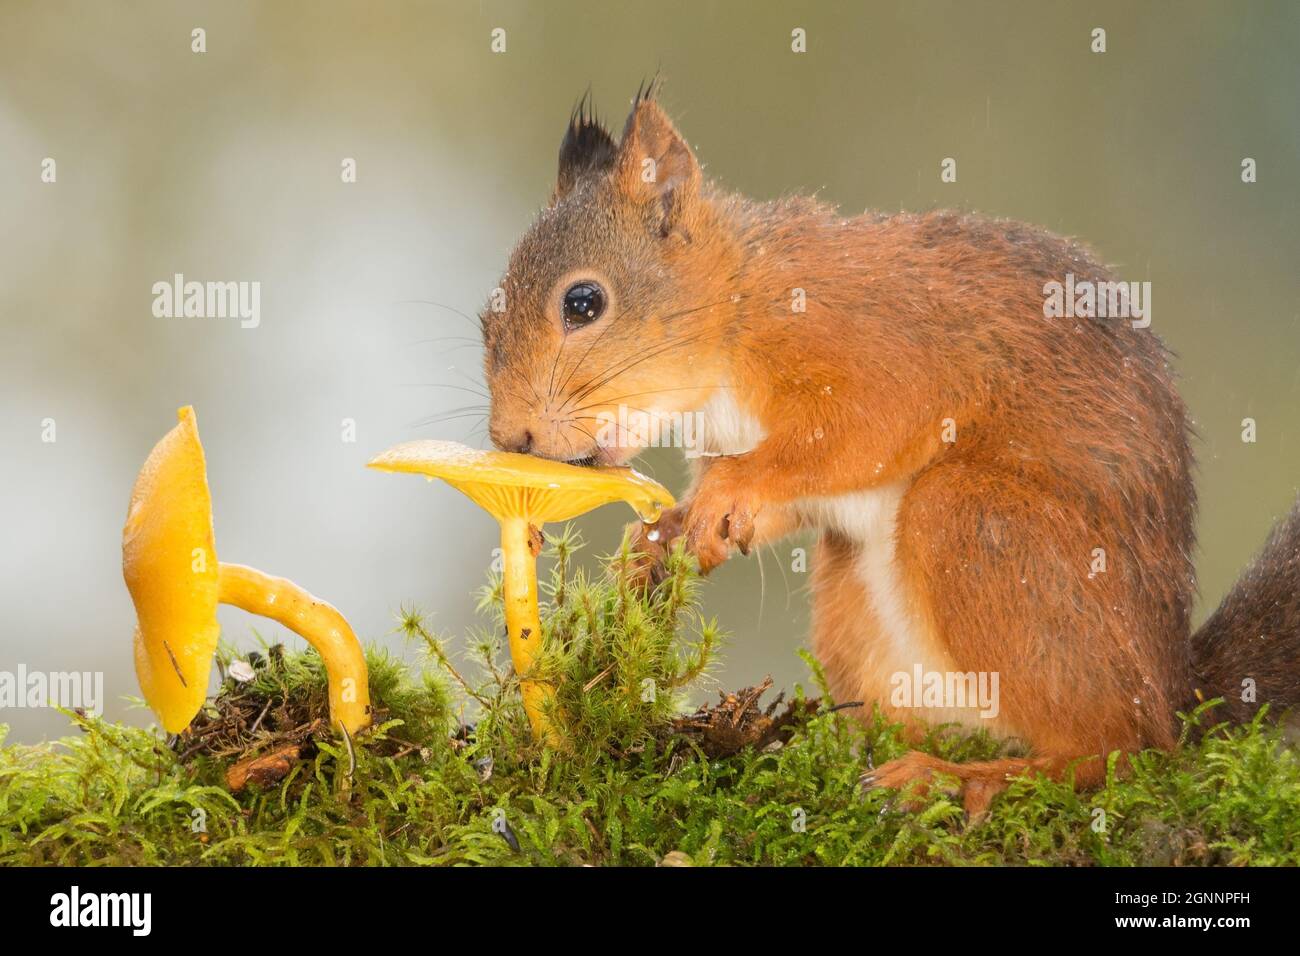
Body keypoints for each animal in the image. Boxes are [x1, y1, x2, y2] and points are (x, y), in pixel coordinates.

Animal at [478, 85, 1300, 815]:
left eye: (584, 303)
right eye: (487, 321)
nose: (511, 438)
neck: (738, 305)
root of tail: (1175, 688)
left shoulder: (876, 349)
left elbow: (858, 431)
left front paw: (725, 492)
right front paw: (663, 540)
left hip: (979, 527)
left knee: (1121, 750)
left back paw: (964, 780)